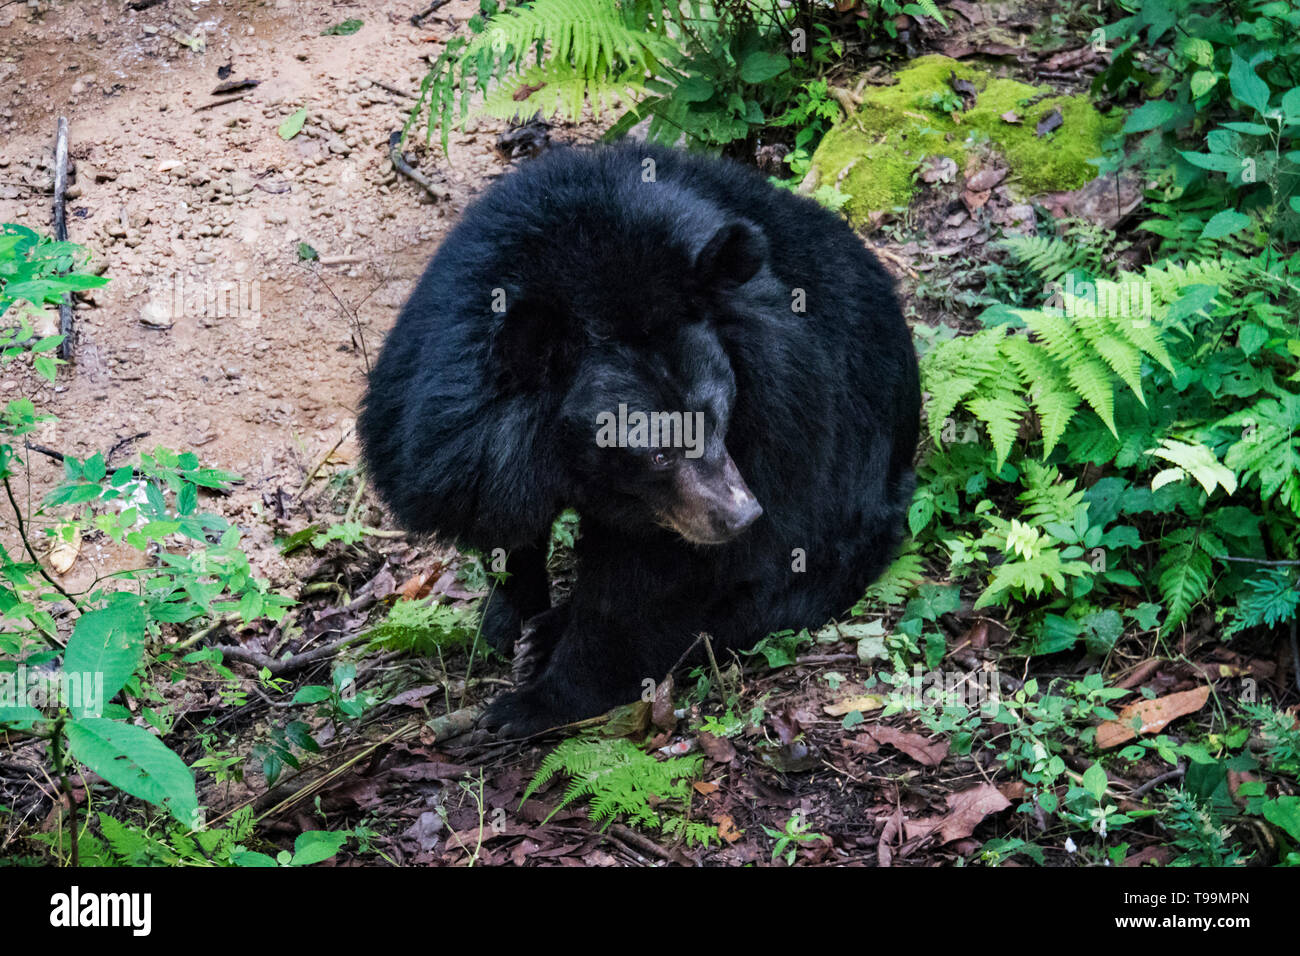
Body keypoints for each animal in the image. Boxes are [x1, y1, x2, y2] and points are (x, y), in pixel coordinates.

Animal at [359, 142, 920, 737]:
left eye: (720, 417)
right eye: (655, 452)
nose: (740, 516)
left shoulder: (779, 401)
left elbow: (651, 586)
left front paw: (529, 705)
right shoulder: (457, 435)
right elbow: (500, 523)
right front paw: (508, 623)